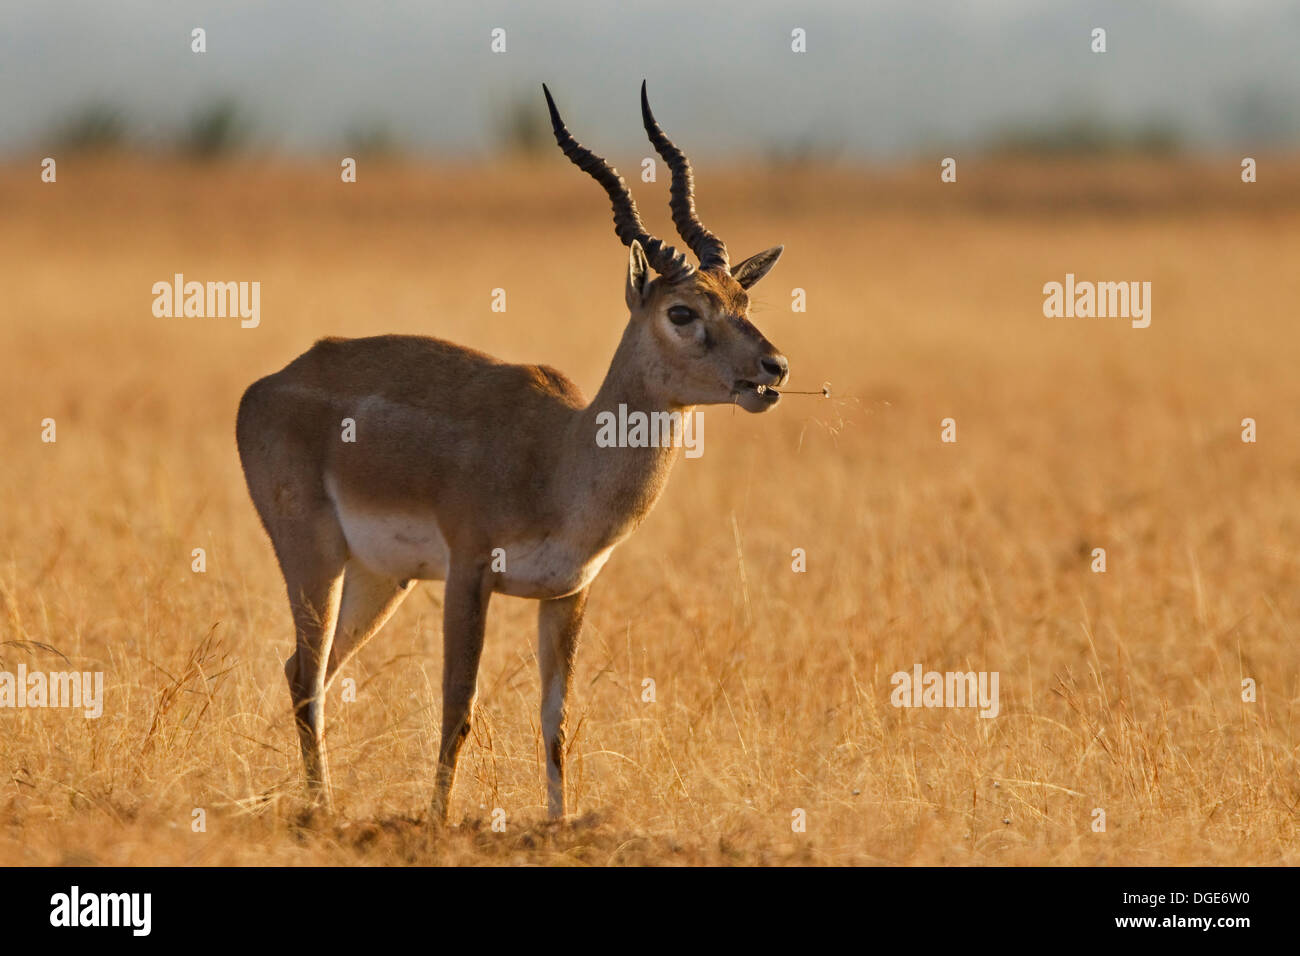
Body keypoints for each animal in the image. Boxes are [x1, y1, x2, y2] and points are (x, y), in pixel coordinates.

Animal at [235, 82, 791, 822]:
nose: (773, 367)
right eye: (682, 312)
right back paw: (320, 809)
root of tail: (268, 383)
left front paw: (557, 823)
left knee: (313, 670)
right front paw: (436, 821)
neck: (560, 458)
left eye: (742, 299)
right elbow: (458, 706)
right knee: (305, 675)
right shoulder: (469, 574)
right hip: (314, 555)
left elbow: (556, 720)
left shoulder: (567, 594)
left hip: (379, 576)